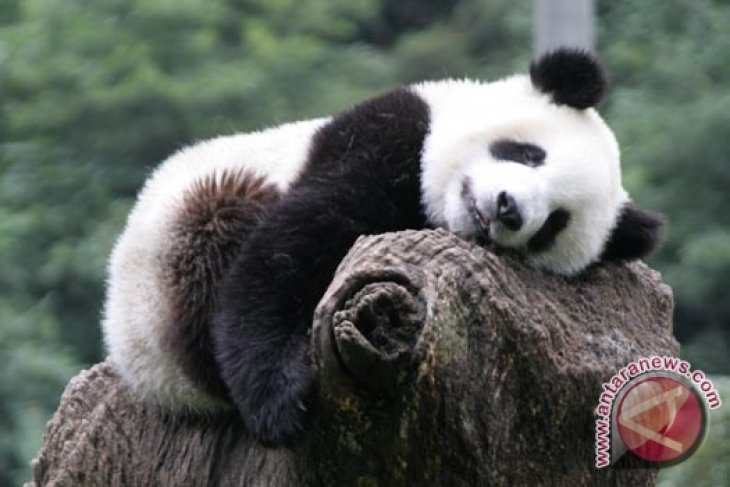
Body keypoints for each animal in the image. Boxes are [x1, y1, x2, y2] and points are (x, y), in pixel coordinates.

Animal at [103, 49, 663, 447]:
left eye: (554, 224)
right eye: (527, 153)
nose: (508, 209)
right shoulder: (387, 135)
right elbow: (286, 253)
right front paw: (283, 402)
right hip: (167, 260)